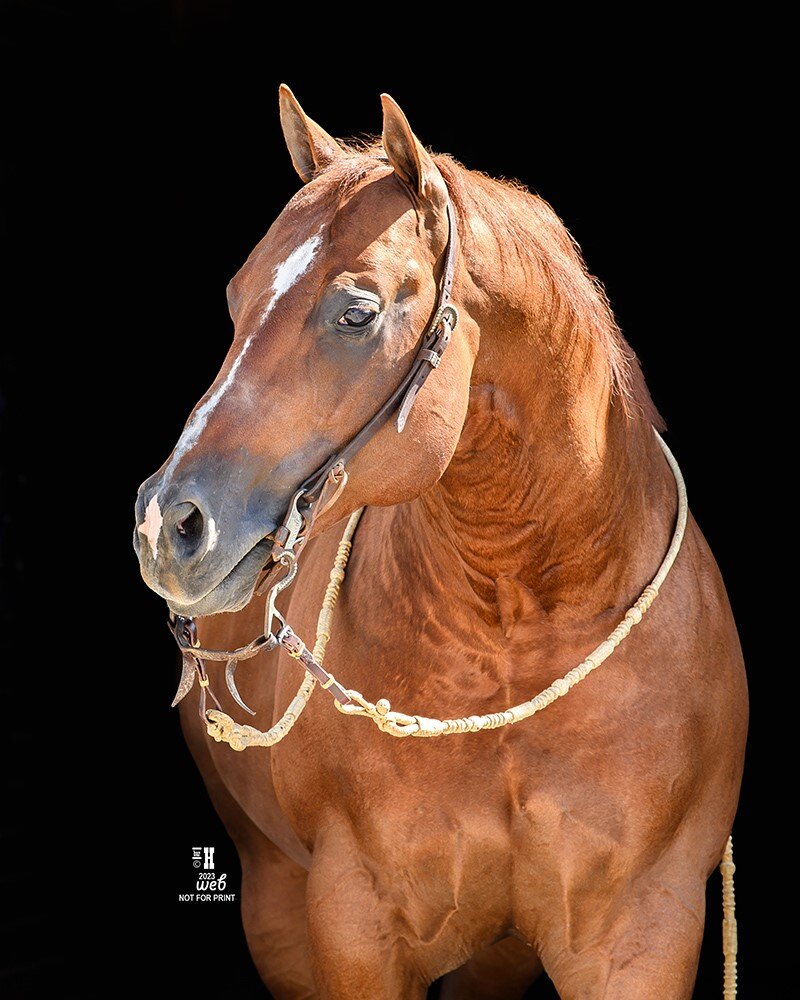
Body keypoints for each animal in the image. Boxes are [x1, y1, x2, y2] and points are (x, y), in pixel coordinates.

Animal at [134, 86, 747, 999]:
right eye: (237, 298)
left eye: (356, 313)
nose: (166, 524)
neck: (519, 619)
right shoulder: (354, 924)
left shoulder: (643, 934)